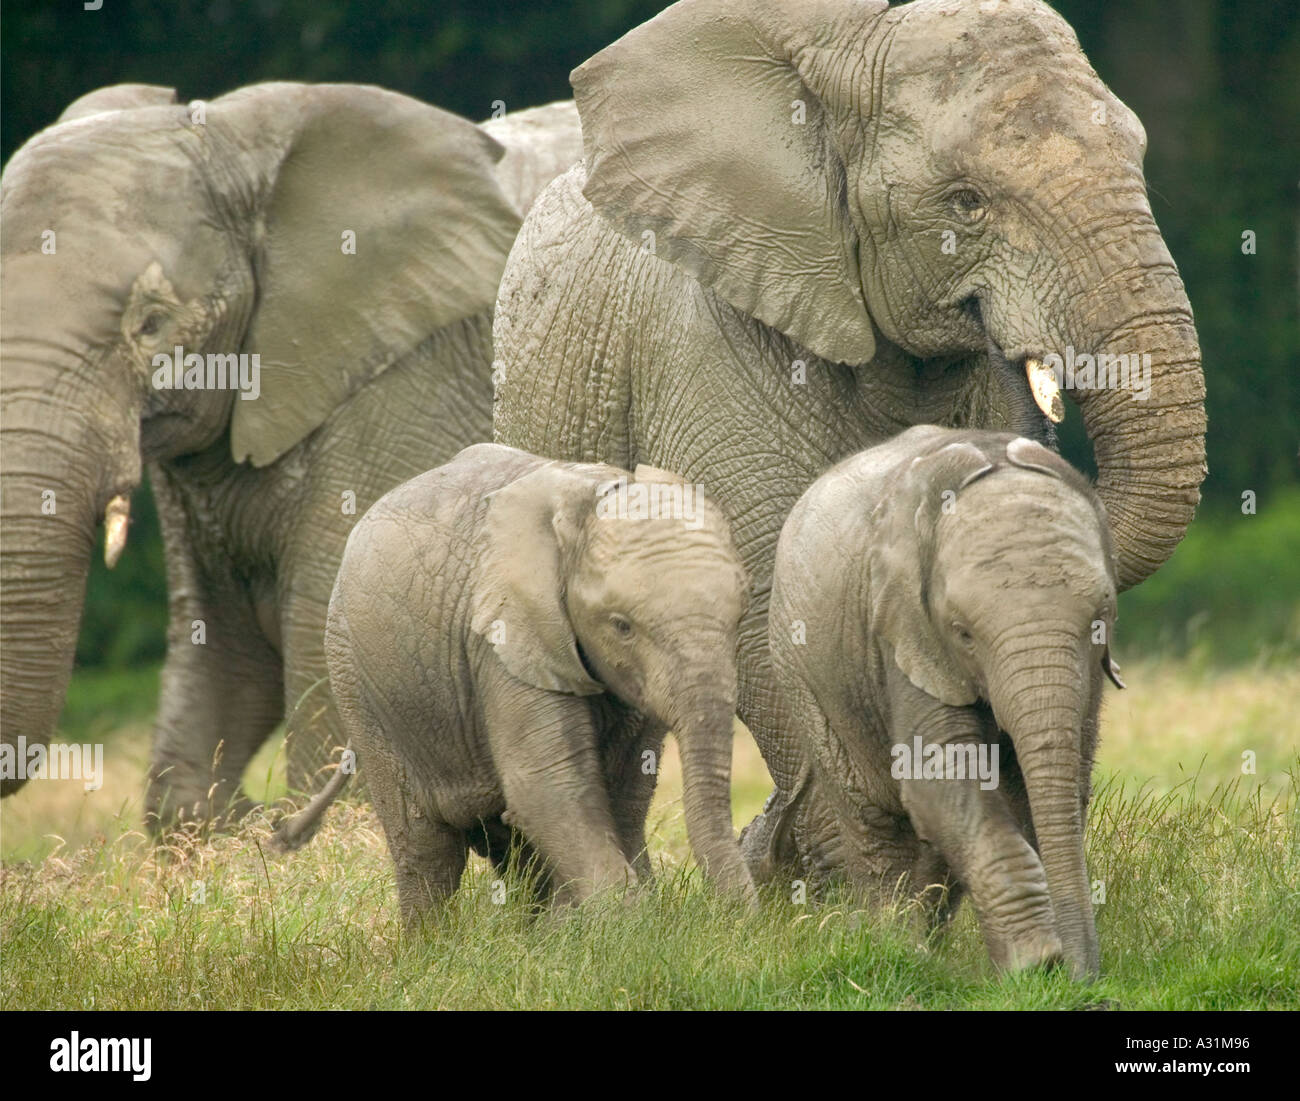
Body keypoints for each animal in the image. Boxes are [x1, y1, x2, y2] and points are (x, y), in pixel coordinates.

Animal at [278, 443, 756, 922]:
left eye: (740, 618)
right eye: (622, 626)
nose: (735, 917)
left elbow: (626, 787)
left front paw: (598, 924)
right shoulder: (503, 638)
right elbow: (547, 783)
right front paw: (625, 926)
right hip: (355, 676)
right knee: (424, 846)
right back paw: (432, 940)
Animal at [767, 426, 1123, 977]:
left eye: (1100, 618)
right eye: (963, 634)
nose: (1085, 978)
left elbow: (1058, 777)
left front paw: (1038, 965)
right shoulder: (902, 628)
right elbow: (939, 775)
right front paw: (1034, 963)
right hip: (802, 670)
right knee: (871, 815)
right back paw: (893, 946)